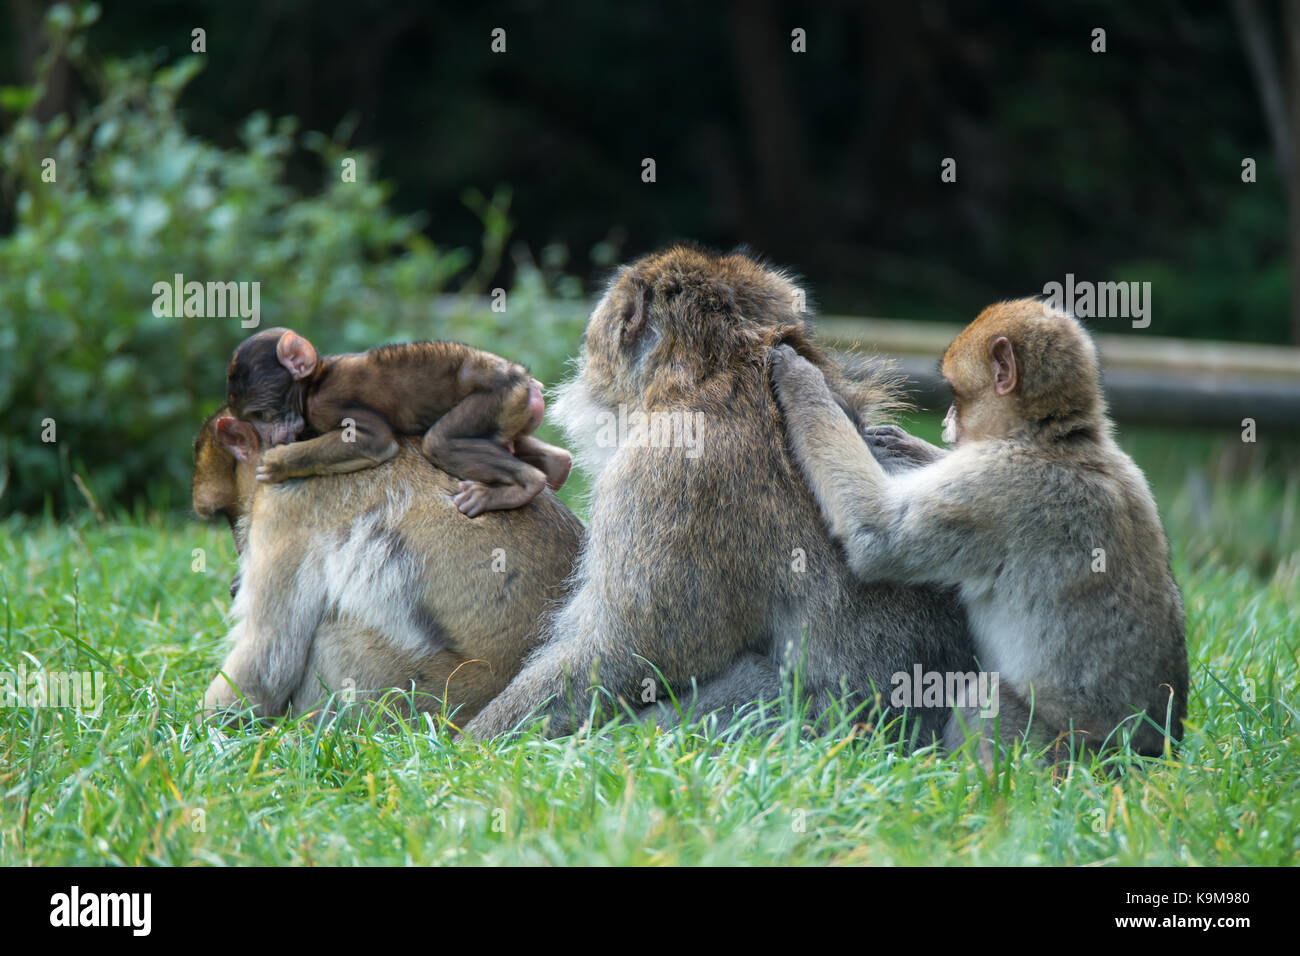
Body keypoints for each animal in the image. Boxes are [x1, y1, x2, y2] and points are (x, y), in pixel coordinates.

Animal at [191, 407, 583, 724]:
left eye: (229, 514)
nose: (239, 559)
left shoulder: (285, 503)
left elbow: (266, 664)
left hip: (435, 698)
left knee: (332, 639)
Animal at [225, 328, 572, 517]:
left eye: (260, 415)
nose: (271, 437)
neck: (315, 382)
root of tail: (525, 381)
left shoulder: (327, 404)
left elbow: (373, 439)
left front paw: (277, 461)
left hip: (498, 397)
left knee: (440, 442)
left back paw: (524, 485)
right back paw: (557, 466)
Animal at [768, 299, 1189, 761]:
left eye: (955, 395)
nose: (947, 421)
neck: (1051, 441)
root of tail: (1153, 752)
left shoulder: (997, 488)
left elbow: (877, 534)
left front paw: (802, 380)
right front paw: (915, 448)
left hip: (1063, 753)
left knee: (987, 696)